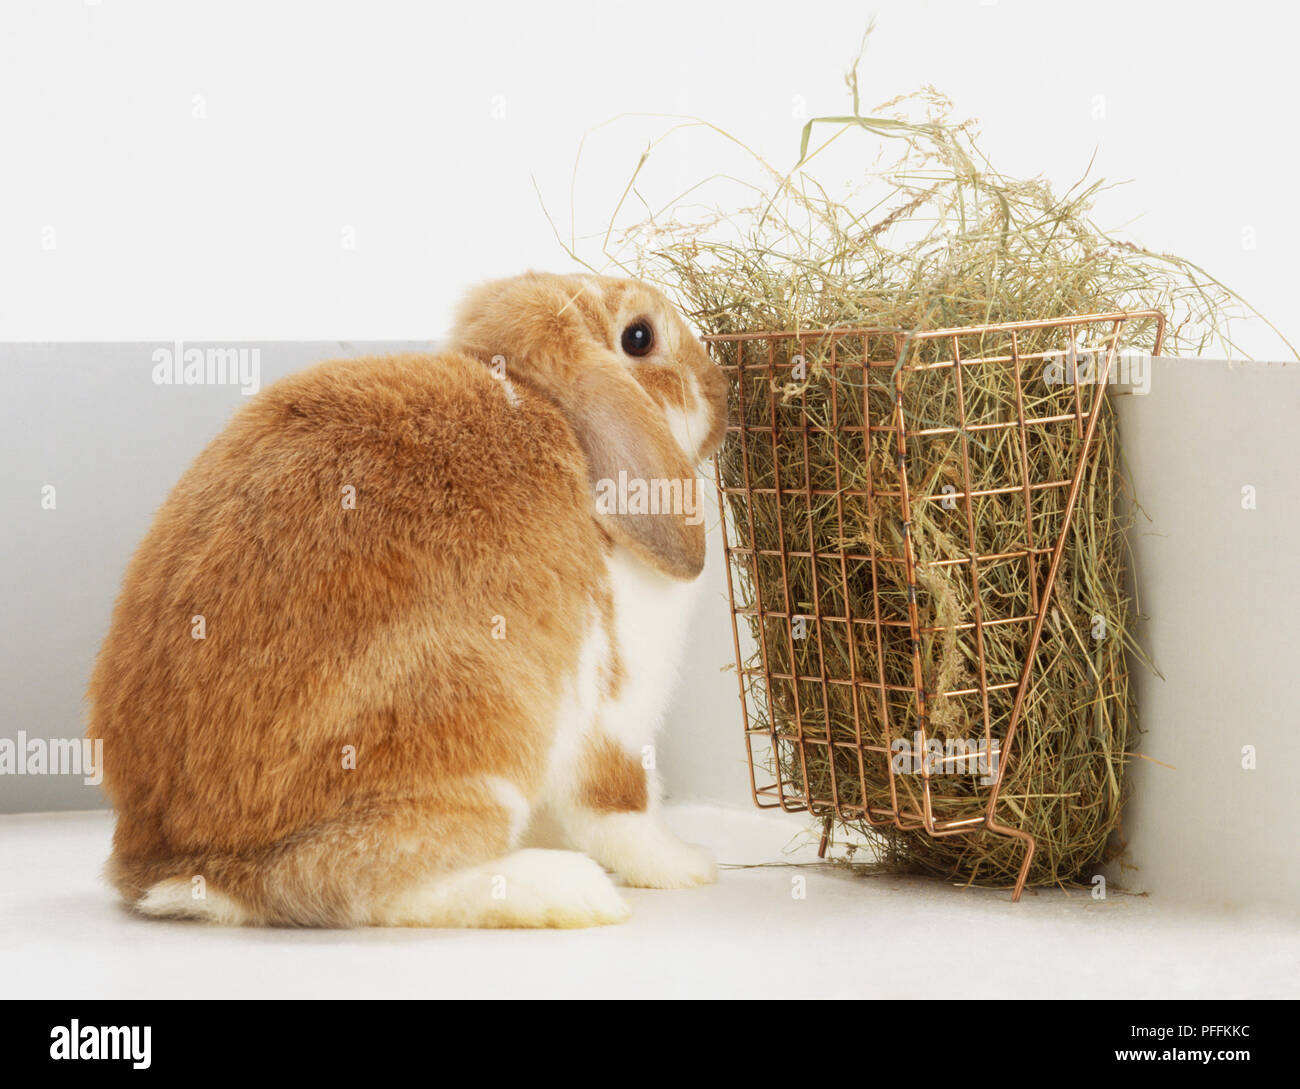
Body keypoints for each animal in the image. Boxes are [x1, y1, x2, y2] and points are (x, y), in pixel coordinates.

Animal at [87, 271, 729, 928]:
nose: (719, 385)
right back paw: (567, 890)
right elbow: (623, 810)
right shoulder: (612, 724)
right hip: (471, 723)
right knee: (363, 882)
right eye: (639, 337)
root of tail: (183, 865)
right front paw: (688, 866)